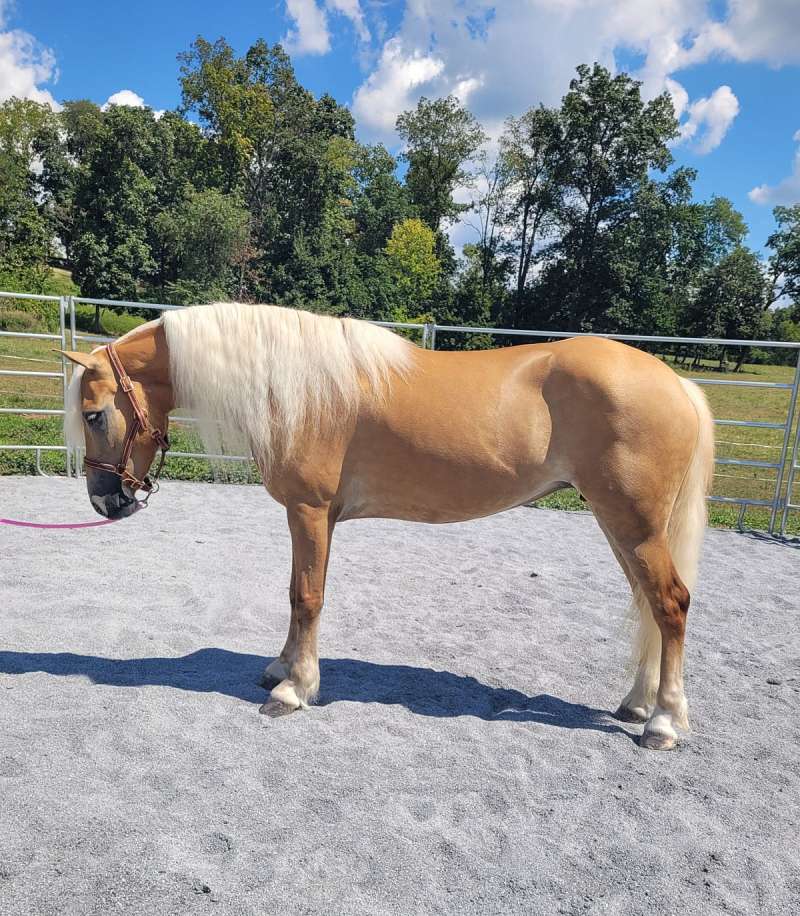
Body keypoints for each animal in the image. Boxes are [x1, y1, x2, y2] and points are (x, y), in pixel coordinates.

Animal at [62, 302, 714, 750]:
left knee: (670, 605)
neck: (296, 388)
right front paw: (279, 669)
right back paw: (637, 705)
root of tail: (676, 383)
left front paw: (294, 689)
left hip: (634, 527)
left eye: (94, 415)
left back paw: (662, 722)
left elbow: (307, 596)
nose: (105, 502)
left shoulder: (311, 511)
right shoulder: (310, 517)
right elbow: (296, 595)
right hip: (623, 528)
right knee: (649, 606)